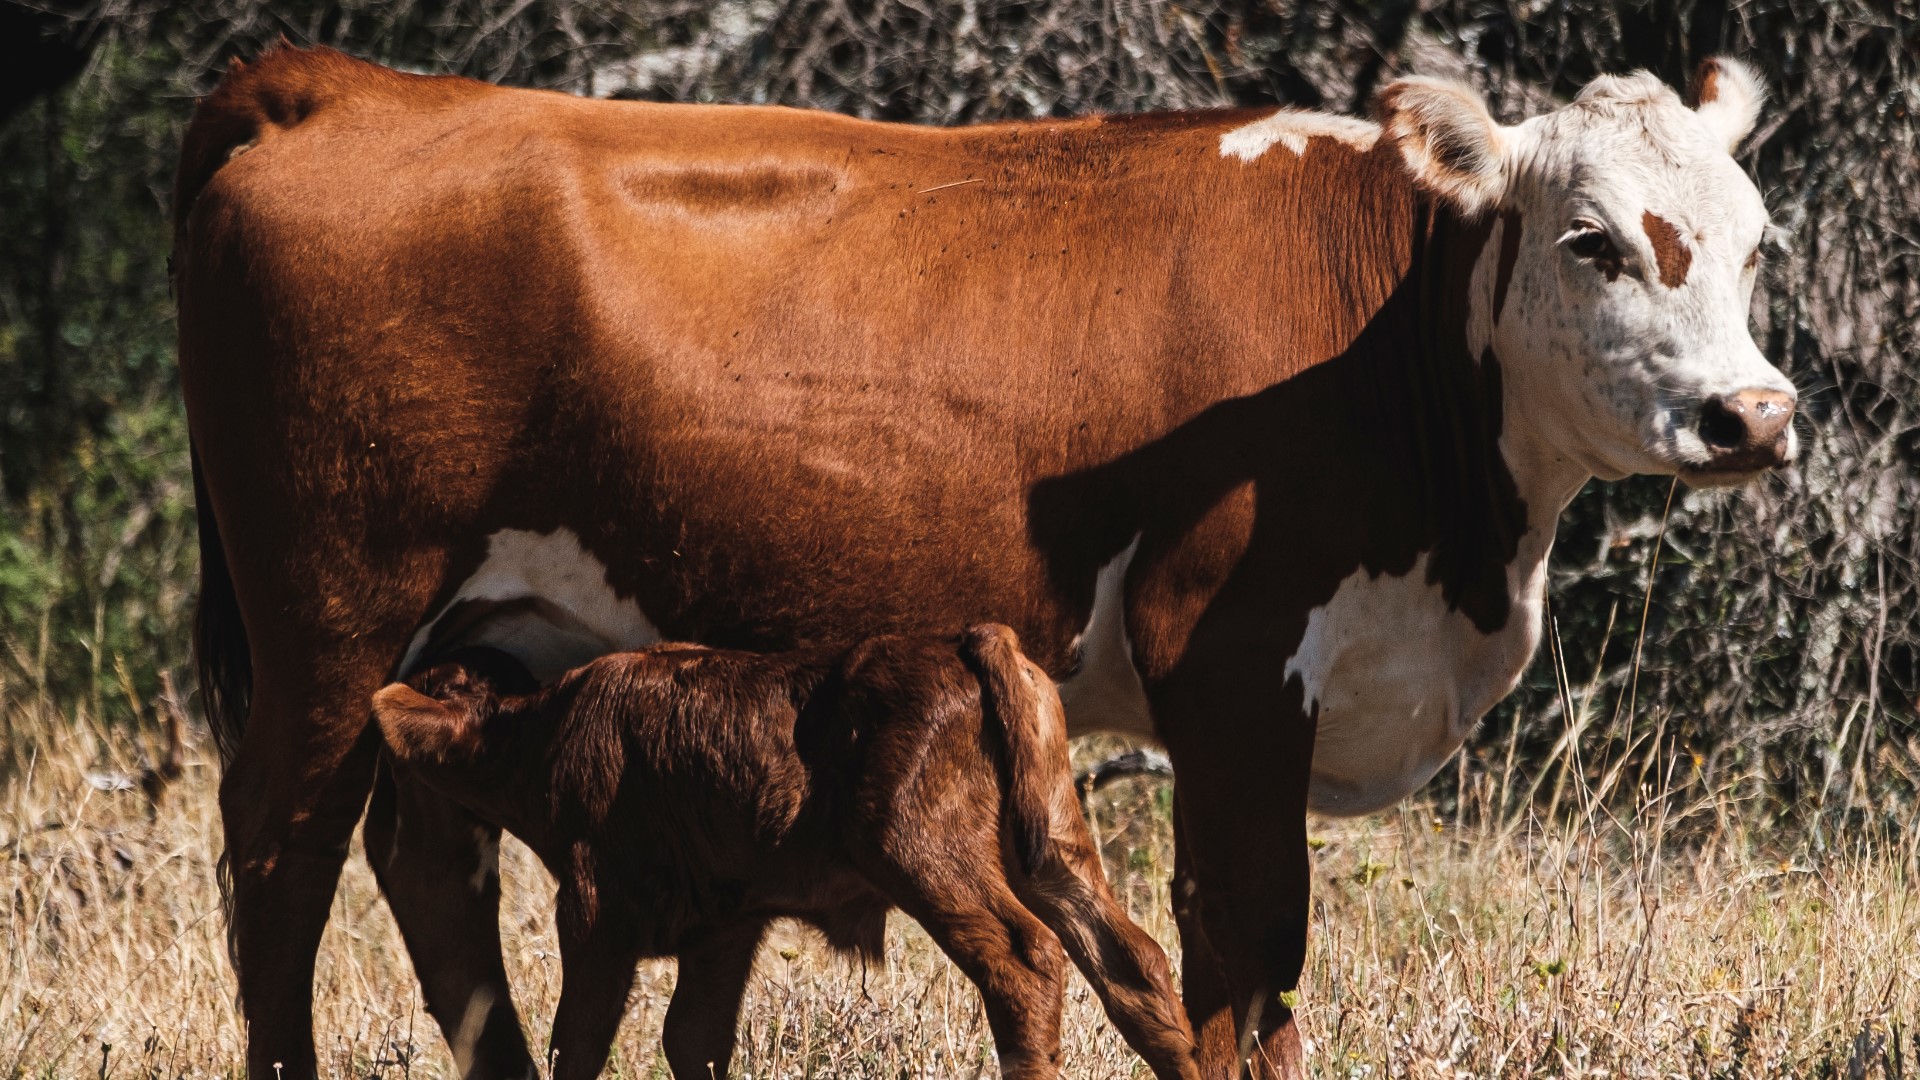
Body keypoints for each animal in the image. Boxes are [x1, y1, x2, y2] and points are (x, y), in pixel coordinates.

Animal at [370, 626, 1201, 1080]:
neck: (540, 731)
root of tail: (967, 640)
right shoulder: (726, 927)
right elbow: (693, 1038)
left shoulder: (592, 909)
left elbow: (576, 1041)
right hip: (1054, 845)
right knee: (1133, 962)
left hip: (924, 856)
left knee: (1023, 963)